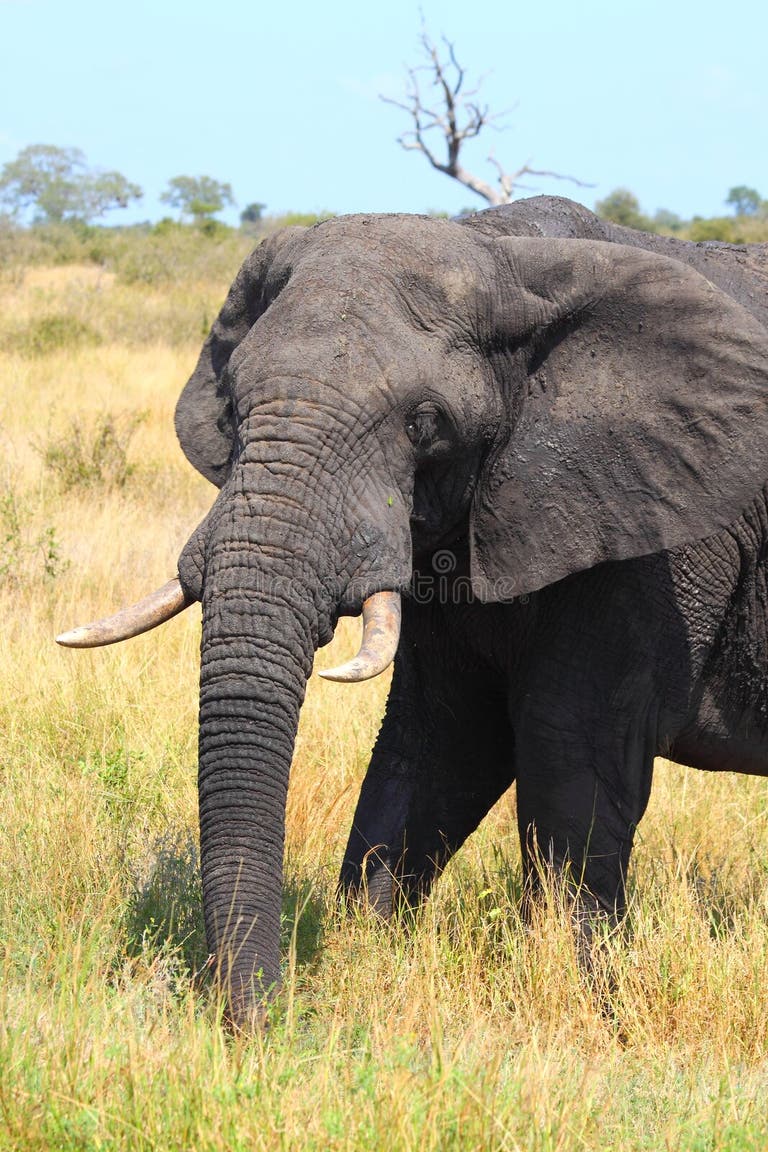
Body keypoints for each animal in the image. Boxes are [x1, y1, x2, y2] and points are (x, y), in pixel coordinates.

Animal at [58, 195, 768, 1027]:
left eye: (425, 423)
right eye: (232, 405)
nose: (264, 1023)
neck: (506, 255)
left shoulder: (657, 529)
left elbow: (570, 748)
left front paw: (589, 1002)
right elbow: (438, 744)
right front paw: (366, 954)